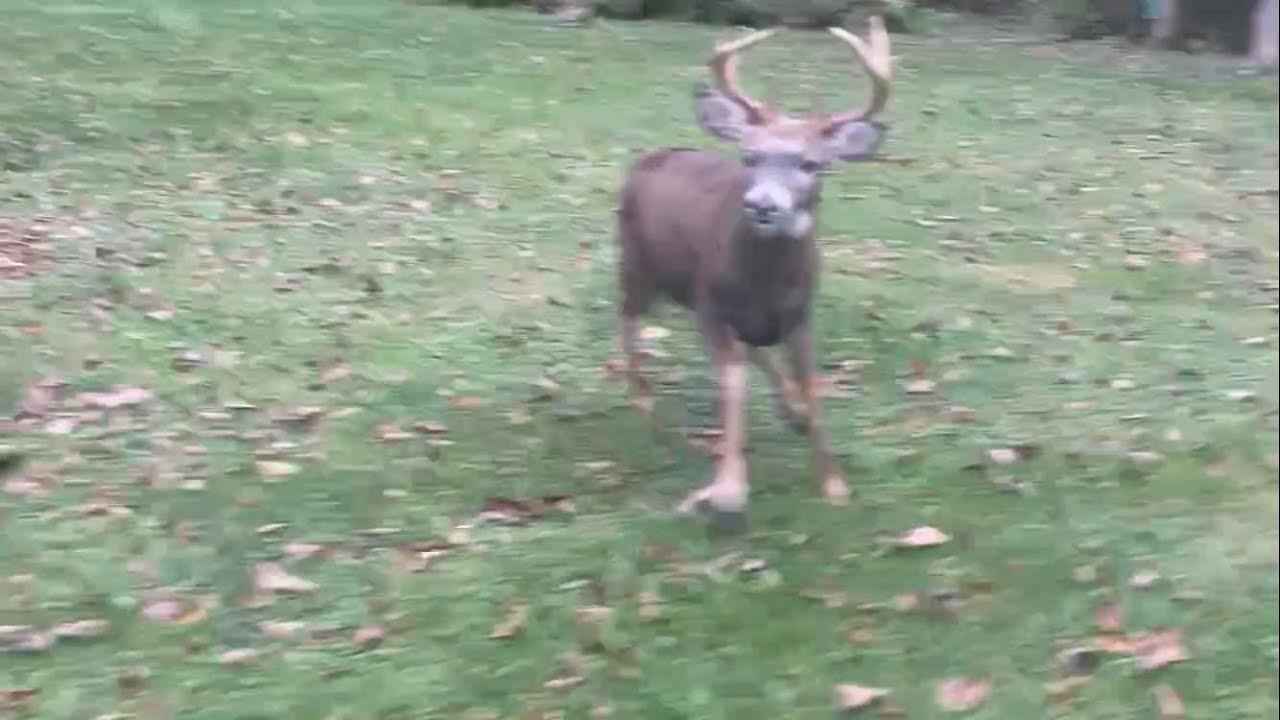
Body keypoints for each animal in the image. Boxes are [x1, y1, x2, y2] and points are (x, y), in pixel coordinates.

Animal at [614, 16, 894, 516]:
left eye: (811, 164)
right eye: (750, 156)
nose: (762, 204)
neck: (766, 284)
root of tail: (654, 156)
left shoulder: (801, 314)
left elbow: (810, 385)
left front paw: (834, 484)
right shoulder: (712, 306)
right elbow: (733, 386)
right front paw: (728, 487)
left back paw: (790, 412)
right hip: (637, 263)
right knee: (627, 321)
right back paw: (645, 408)